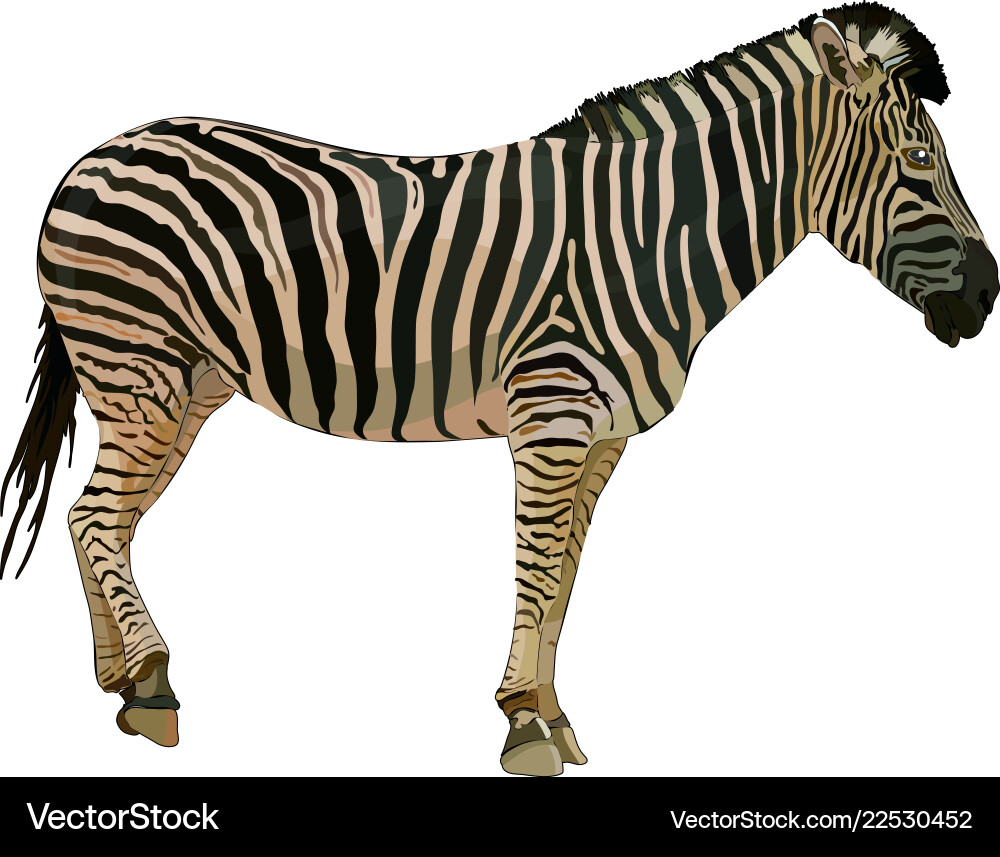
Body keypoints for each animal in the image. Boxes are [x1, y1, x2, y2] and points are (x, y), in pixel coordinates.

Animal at [1, 2, 996, 776]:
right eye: (919, 163)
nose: (988, 294)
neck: (651, 235)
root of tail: (90, 157)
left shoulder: (603, 435)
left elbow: (566, 578)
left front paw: (552, 713)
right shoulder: (551, 415)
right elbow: (536, 566)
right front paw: (524, 723)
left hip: (182, 384)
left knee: (93, 518)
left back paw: (121, 682)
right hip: (141, 369)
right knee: (100, 517)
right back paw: (154, 684)